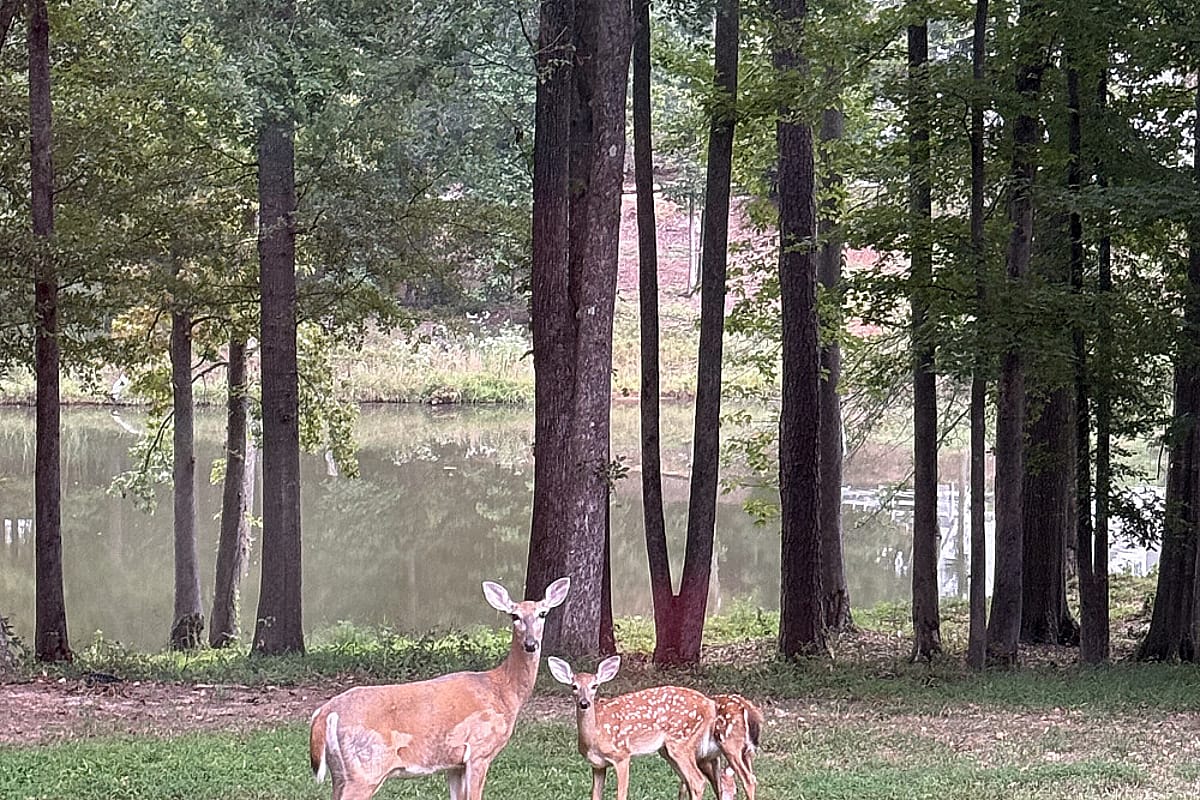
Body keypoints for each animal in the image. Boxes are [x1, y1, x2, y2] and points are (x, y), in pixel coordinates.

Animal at [309, 576, 570, 800]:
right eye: (514, 616)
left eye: (542, 613)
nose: (531, 644)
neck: (504, 692)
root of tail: (325, 713)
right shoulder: (479, 751)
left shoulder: (454, 764)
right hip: (366, 768)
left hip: (341, 773)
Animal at [548, 654, 719, 800]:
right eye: (574, 686)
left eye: (594, 686)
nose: (584, 703)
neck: (595, 736)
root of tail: (710, 704)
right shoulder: (597, 765)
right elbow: (595, 796)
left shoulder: (622, 754)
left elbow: (621, 795)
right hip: (667, 750)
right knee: (689, 781)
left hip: (681, 741)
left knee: (697, 781)